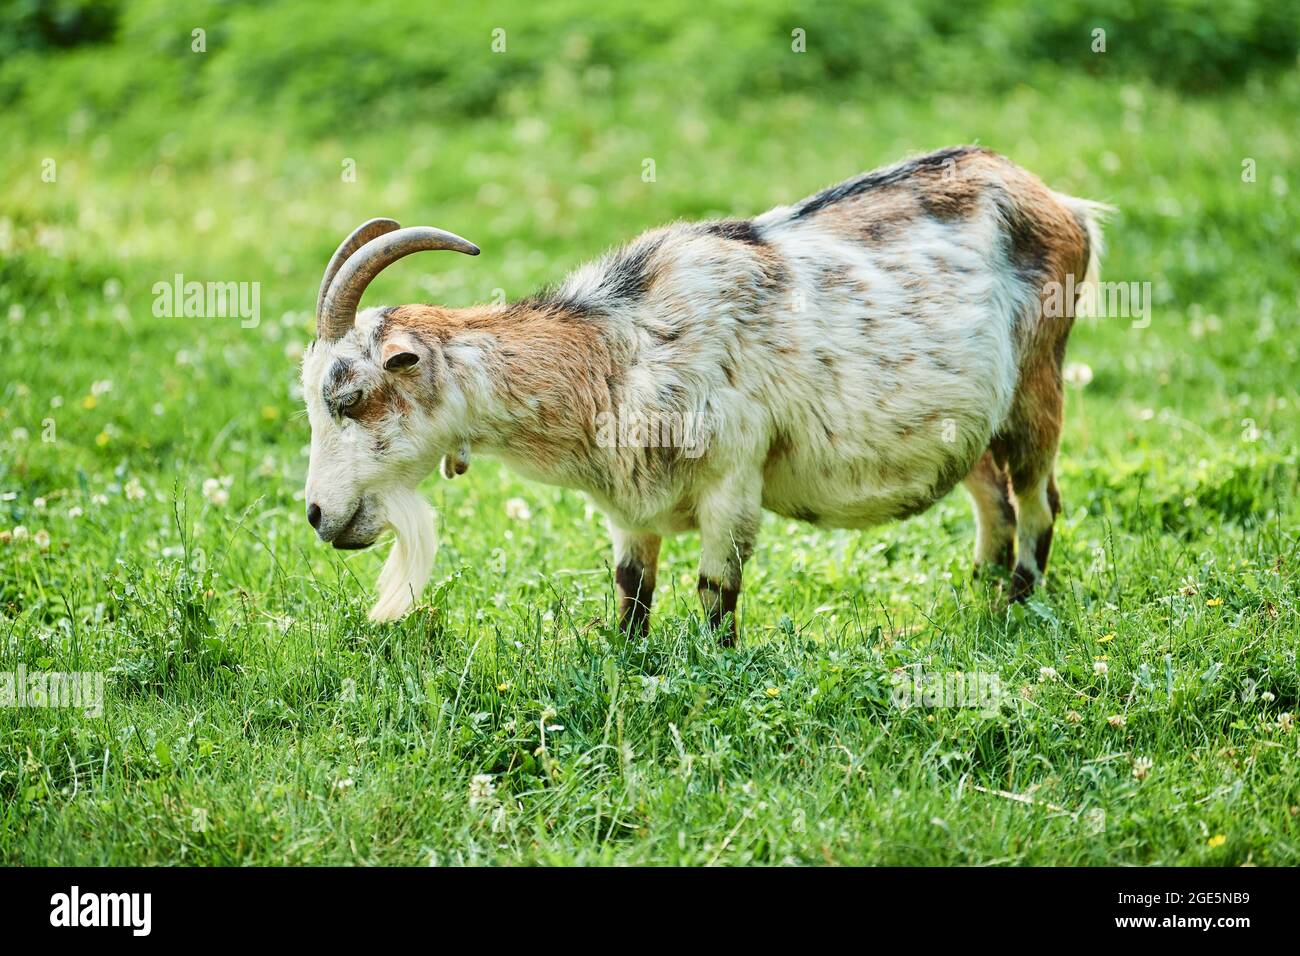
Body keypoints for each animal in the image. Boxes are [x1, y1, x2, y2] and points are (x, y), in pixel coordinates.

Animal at [301, 146, 1107, 642]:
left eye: (351, 395)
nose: (317, 515)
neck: (616, 348)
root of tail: (1062, 205)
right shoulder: (629, 508)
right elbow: (631, 591)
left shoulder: (732, 483)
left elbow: (717, 594)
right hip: (966, 425)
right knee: (992, 494)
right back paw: (980, 585)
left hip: (1036, 388)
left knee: (1038, 497)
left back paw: (1016, 601)